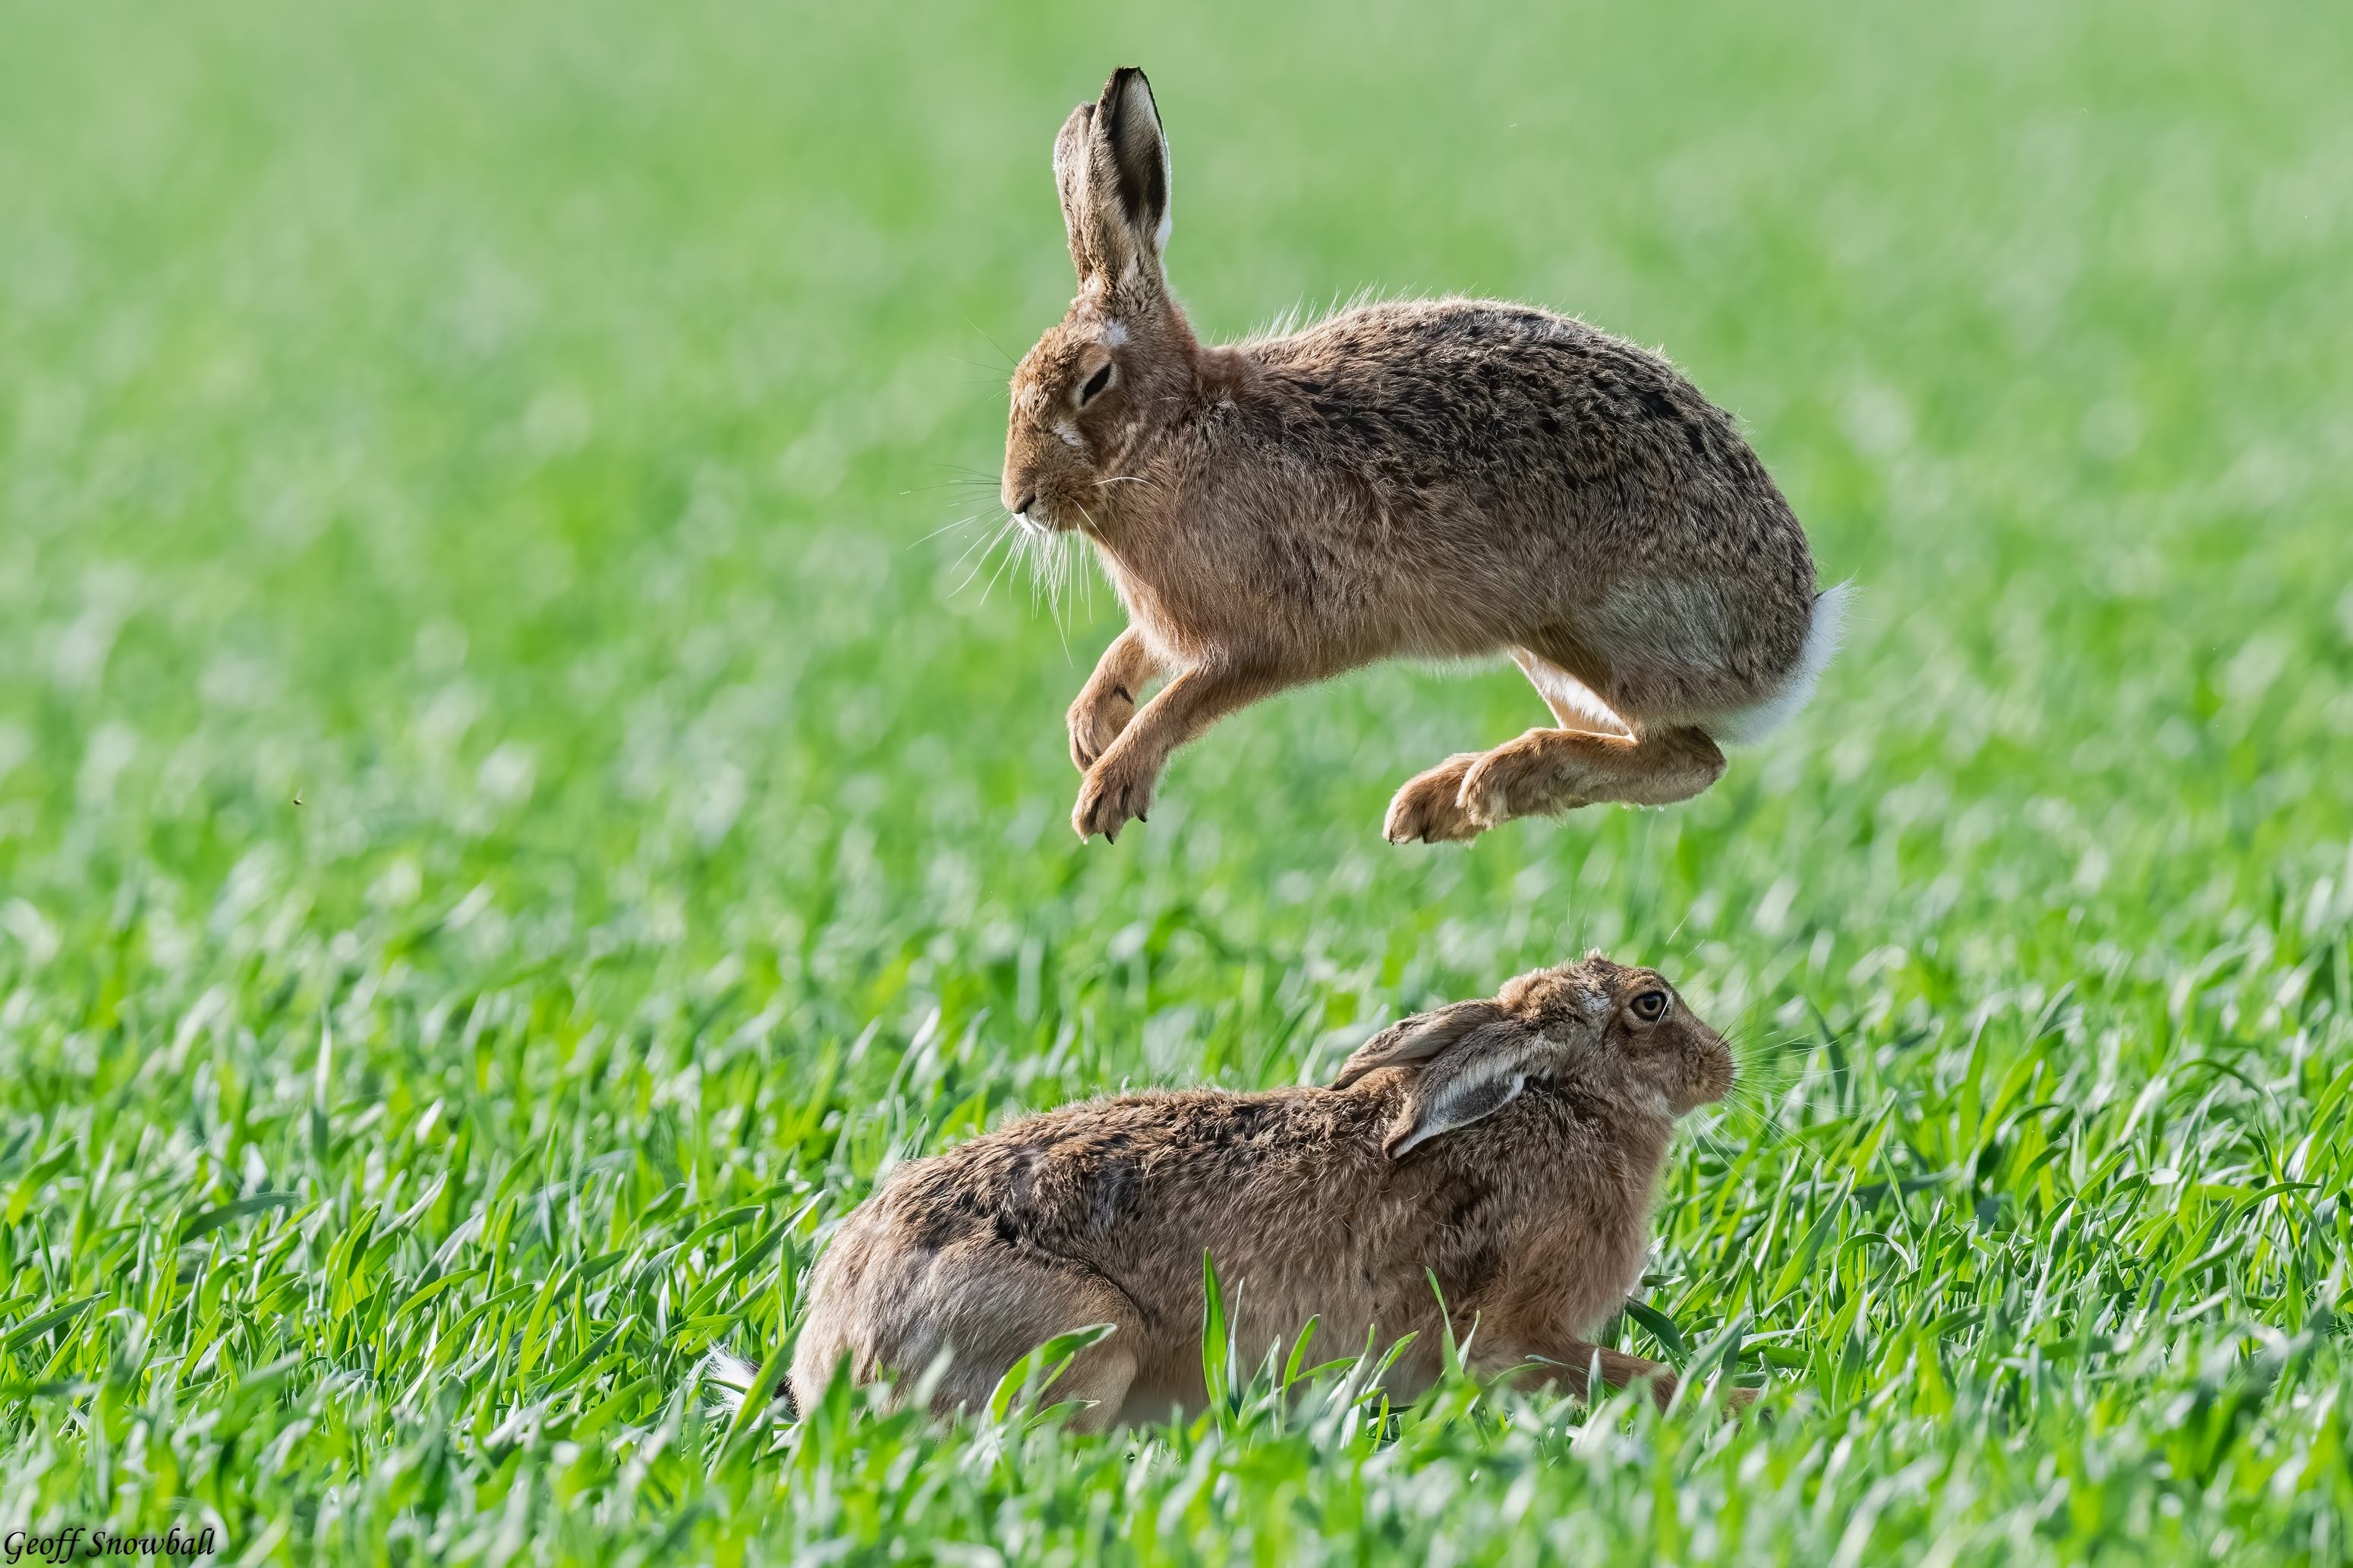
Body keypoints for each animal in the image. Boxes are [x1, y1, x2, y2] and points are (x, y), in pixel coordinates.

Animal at [787, 952, 1738, 1432]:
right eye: (1650, 1003)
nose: (1722, 1064)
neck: (1567, 1100)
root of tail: (834, 1347)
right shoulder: (1513, 1330)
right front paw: (1748, 1409)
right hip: (1089, 1336)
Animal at [998, 68, 1848, 845]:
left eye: (1093, 382)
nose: (1019, 500)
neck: (1177, 431)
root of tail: (1793, 641)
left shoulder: (1270, 636)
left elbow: (1187, 699)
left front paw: (1107, 788)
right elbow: (1133, 650)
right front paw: (1091, 724)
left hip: (1592, 626)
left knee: (1692, 758)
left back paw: (1491, 782)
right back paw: (1445, 801)